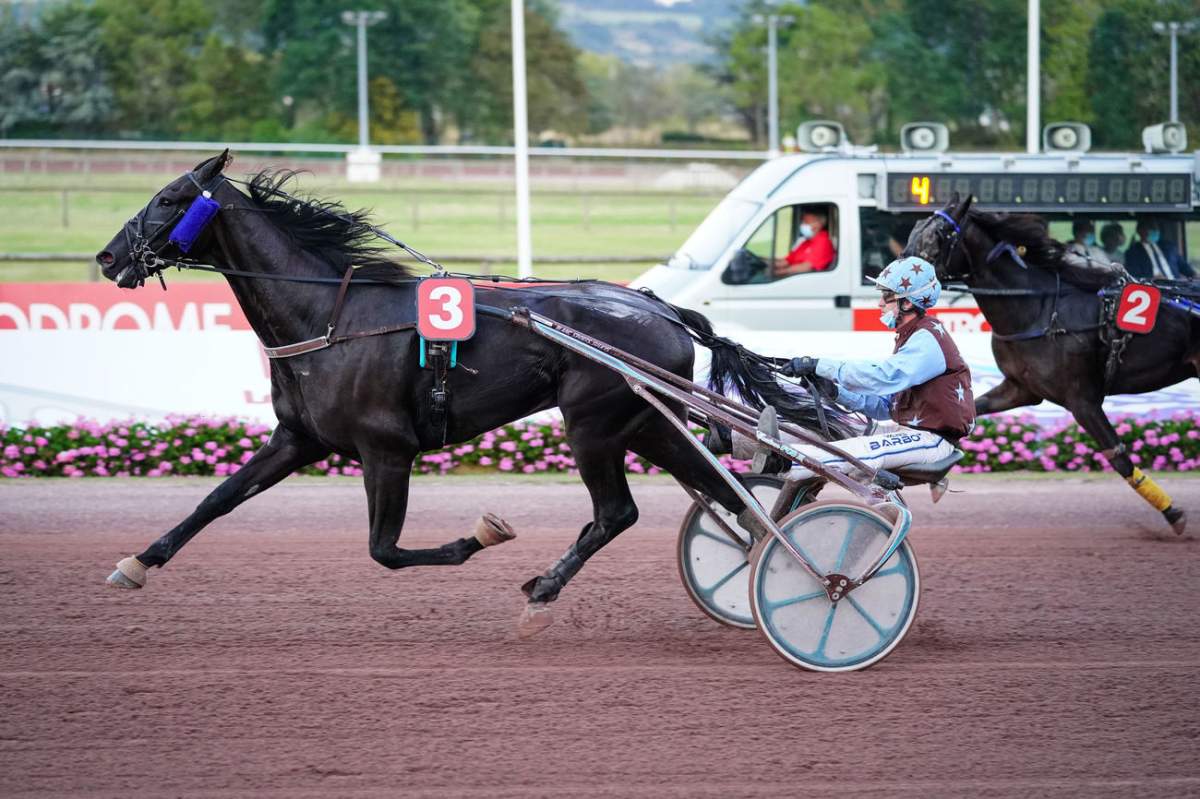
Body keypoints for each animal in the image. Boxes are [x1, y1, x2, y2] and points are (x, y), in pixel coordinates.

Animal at [94, 151, 854, 635]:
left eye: (169, 199)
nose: (105, 256)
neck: (330, 320)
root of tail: (659, 308)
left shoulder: (386, 449)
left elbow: (385, 549)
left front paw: (483, 535)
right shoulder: (299, 438)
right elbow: (219, 499)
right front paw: (136, 562)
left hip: (594, 424)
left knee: (618, 512)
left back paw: (548, 589)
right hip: (645, 421)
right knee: (725, 492)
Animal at [905, 195, 1199, 534]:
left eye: (937, 236)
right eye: (915, 228)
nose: (890, 276)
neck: (1040, 310)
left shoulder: (1082, 400)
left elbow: (1119, 458)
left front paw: (1173, 513)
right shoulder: (1020, 388)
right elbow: (970, 414)